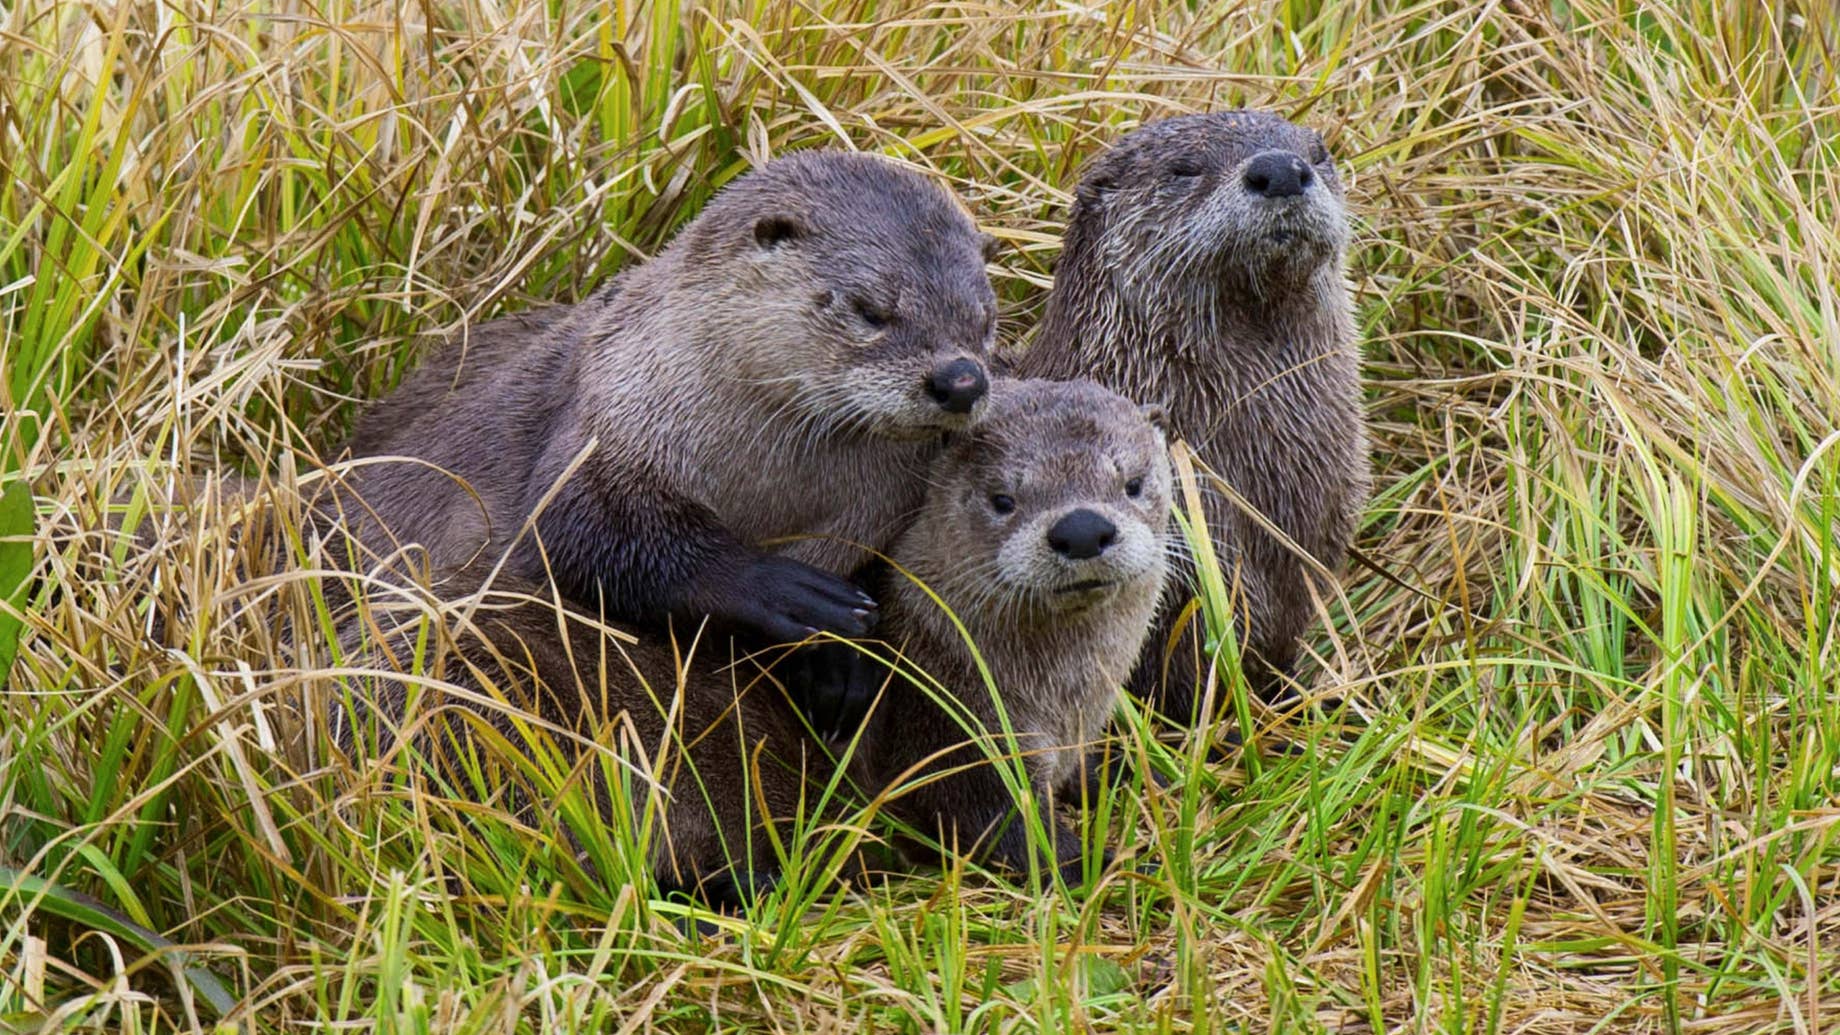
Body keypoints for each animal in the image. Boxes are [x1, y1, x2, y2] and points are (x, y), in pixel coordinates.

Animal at [338, 151, 999, 647]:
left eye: (986, 317)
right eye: (870, 310)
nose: (961, 380)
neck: (769, 486)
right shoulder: (607, 424)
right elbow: (580, 536)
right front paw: (792, 593)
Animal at [341, 378, 1172, 903]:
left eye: (1133, 481)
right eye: (1002, 498)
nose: (1082, 527)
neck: (1051, 699)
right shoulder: (943, 731)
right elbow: (981, 821)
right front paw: (1092, 863)